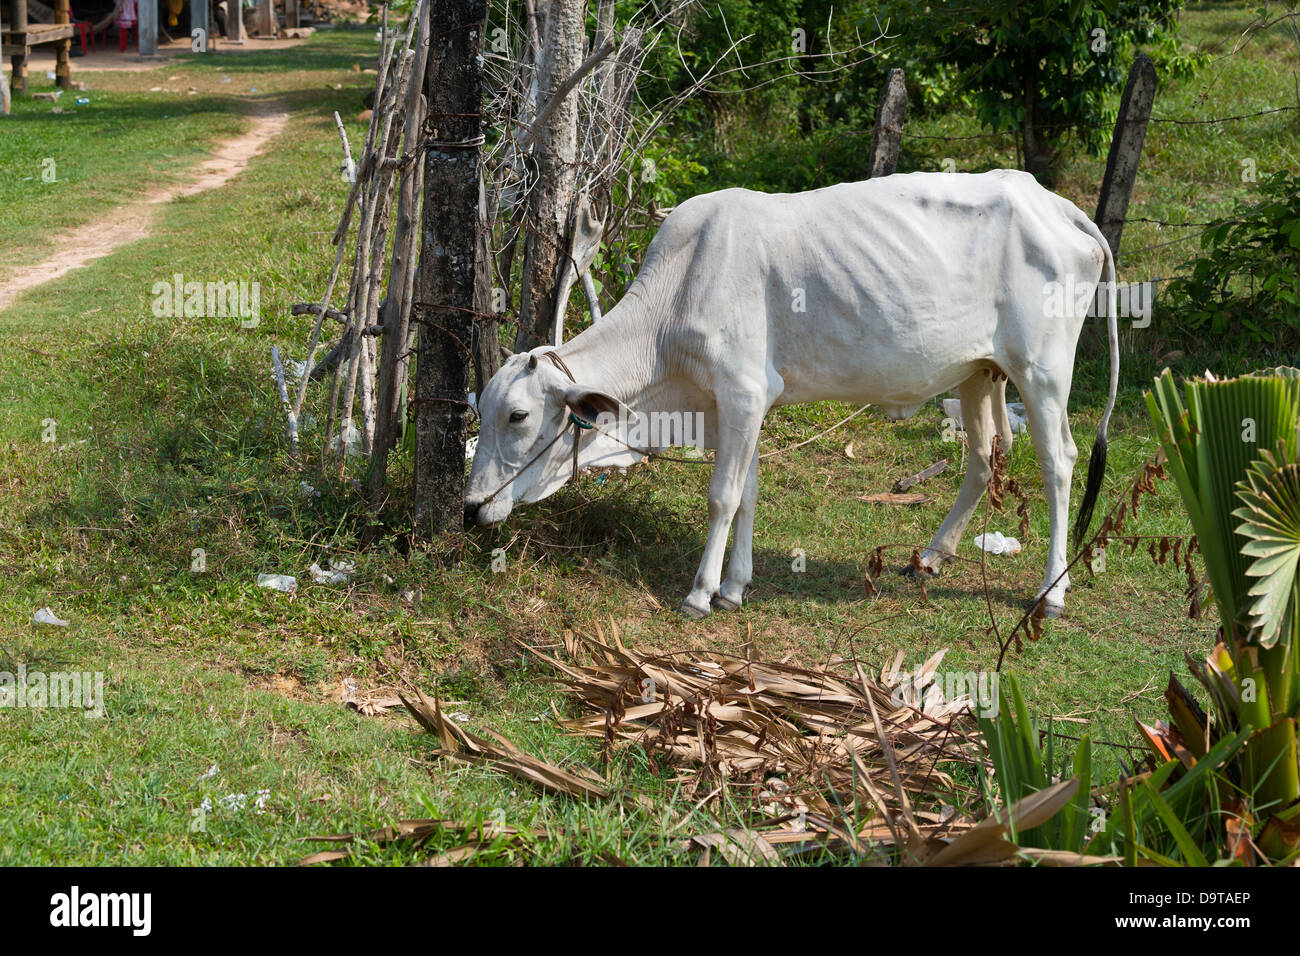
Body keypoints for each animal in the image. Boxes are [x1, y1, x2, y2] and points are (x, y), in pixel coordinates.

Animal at [465, 170, 1119, 620]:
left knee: (1060, 462)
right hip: (979, 371)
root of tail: (1055, 205)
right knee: (984, 457)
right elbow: (749, 493)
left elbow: (722, 496)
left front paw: (701, 593)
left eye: (518, 415)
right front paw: (734, 586)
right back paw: (933, 556)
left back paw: (1052, 591)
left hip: (1042, 372)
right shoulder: (747, 404)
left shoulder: (741, 392)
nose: (470, 508)